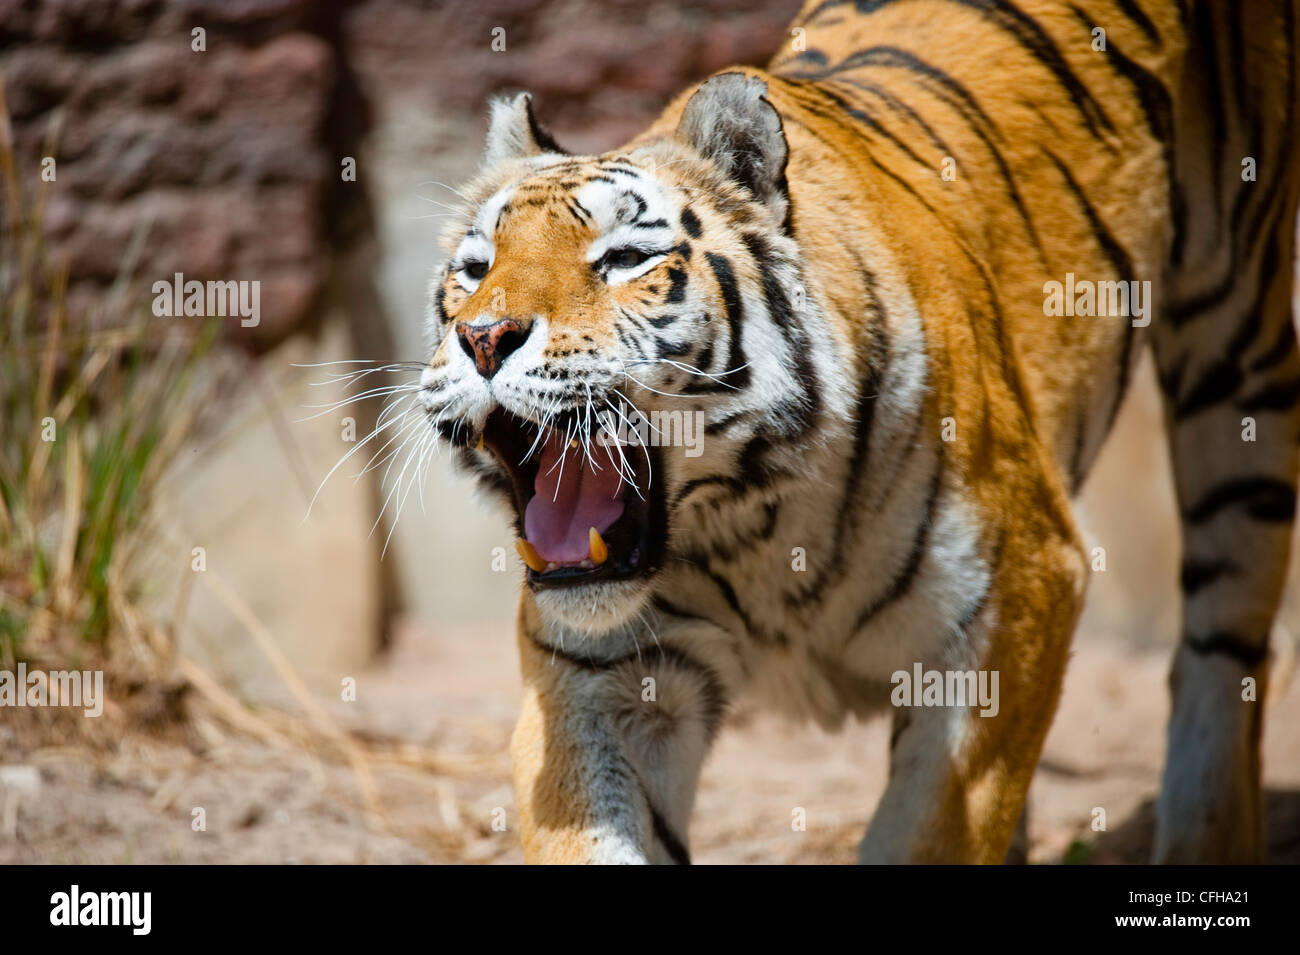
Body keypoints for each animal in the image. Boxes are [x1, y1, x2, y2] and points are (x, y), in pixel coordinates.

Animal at [418, 0, 1300, 863]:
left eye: (625, 258)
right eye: (475, 269)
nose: (484, 337)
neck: (747, 524)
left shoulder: (1010, 606)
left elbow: (929, 830)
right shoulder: (597, 678)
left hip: (1237, 353)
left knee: (1226, 643)